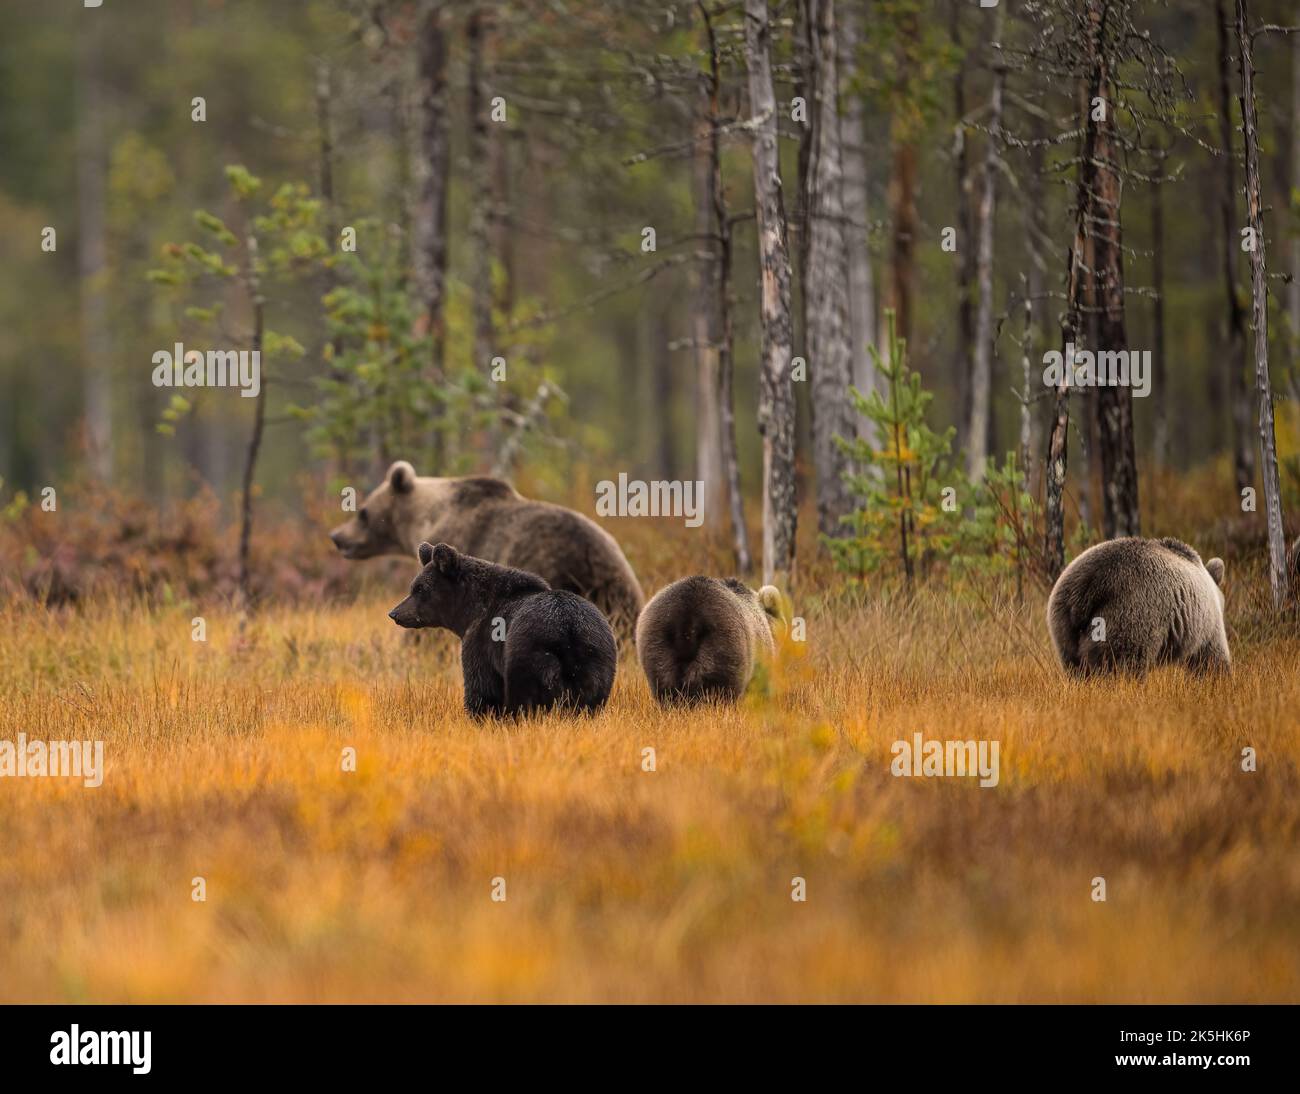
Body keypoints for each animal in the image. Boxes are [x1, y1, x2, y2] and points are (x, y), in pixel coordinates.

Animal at [389, 542, 617, 718]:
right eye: (413, 587)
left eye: (420, 589)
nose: (395, 613)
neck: (469, 611)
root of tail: (568, 630)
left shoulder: (481, 641)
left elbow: (482, 687)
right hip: (597, 655)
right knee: (591, 699)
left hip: (530, 654)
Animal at [1047, 536, 1230, 677]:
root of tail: (1089, 586)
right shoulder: (1206, 625)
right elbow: (1211, 657)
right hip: (1130, 615)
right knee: (1125, 664)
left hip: (1063, 619)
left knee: (1075, 665)